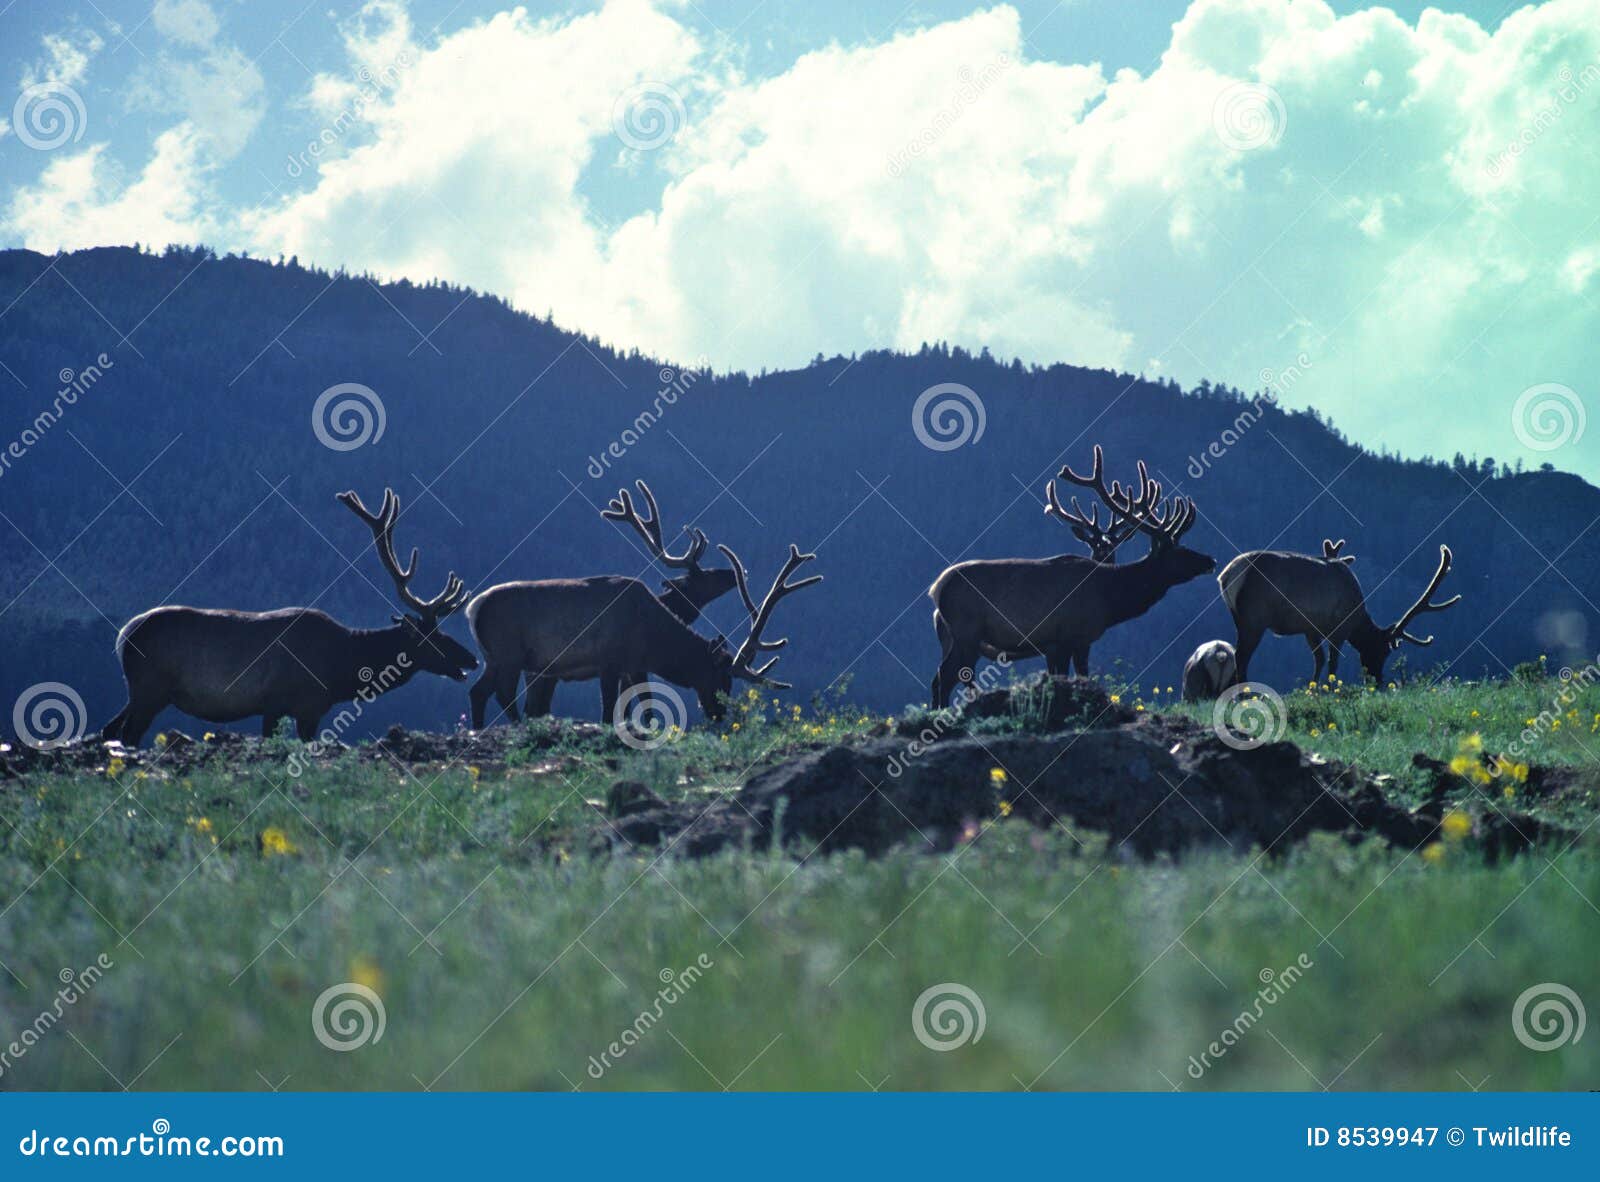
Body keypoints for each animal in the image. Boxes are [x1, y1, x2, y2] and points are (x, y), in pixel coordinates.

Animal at [101, 488, 476, 747]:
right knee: (128, 733)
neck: (342, 669)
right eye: (433, 637)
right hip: (150, 687)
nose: (471, 659)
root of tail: (122, 634)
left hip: (139, 690)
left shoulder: (293, 709)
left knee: (110, 727)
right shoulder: (291, 704)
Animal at [466, 540, 819, 727]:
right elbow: (612, 710)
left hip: (494, 659)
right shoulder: (609, 661)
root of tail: (473, 608)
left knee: (478, 691)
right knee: (503, 694)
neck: (653, 636)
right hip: (510, 655)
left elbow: (644, 708)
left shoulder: (633, 666)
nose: (719, 715)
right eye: (720, 676)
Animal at [928, 446, 1216, 707]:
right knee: (947, 676)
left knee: (942, 677)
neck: (1110, 600)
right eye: (1178, 552)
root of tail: (937, 587)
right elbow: (1076, 677)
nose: (1210, 560)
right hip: (967, 631)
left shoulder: (1064, 643)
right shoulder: (1070, 637)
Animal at [1217, 541, 1460, 685]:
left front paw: (1313, 689)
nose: (1377, 680)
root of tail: (1227, 574)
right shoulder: (1339, 628)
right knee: (1241, 656)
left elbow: (1319, 659)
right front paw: (1331, 688)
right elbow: (1333, 662)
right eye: (1383, 651)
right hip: (1254, 619)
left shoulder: (1310, 630)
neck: (1357, 616)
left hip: (1239, 617)